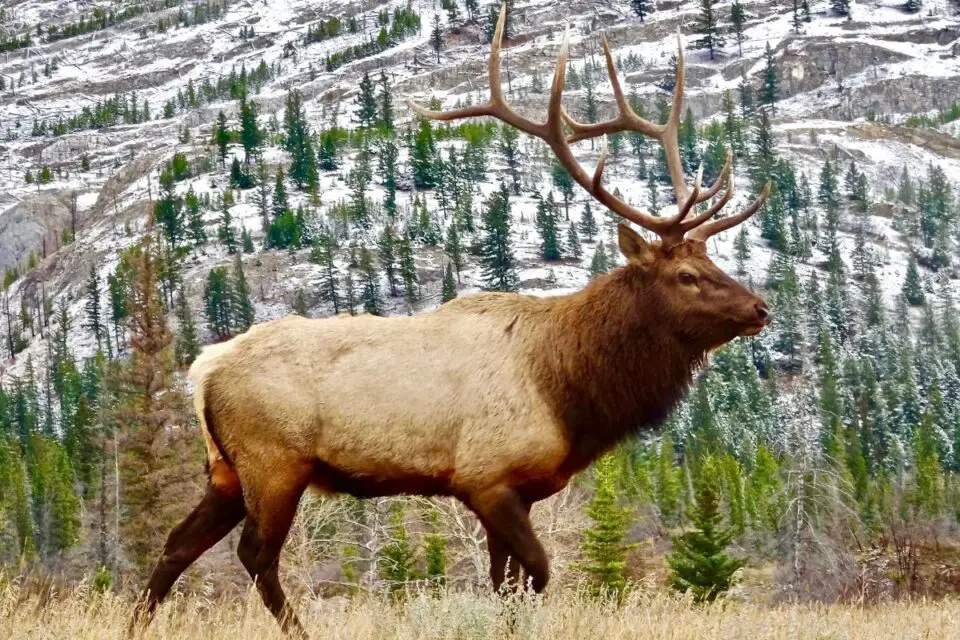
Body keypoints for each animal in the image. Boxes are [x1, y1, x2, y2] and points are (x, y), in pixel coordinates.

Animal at [131, 6, 770, 638]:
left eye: (713, 260)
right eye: (685, 275)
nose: (760, 308)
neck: (568, 390)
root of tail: (203, 369)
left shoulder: (521, 490)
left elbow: (507, 583)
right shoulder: (484, 477)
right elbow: (536, 574)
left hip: (225, 471)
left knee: (176, 545)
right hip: (274, 461)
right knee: (255, 556)